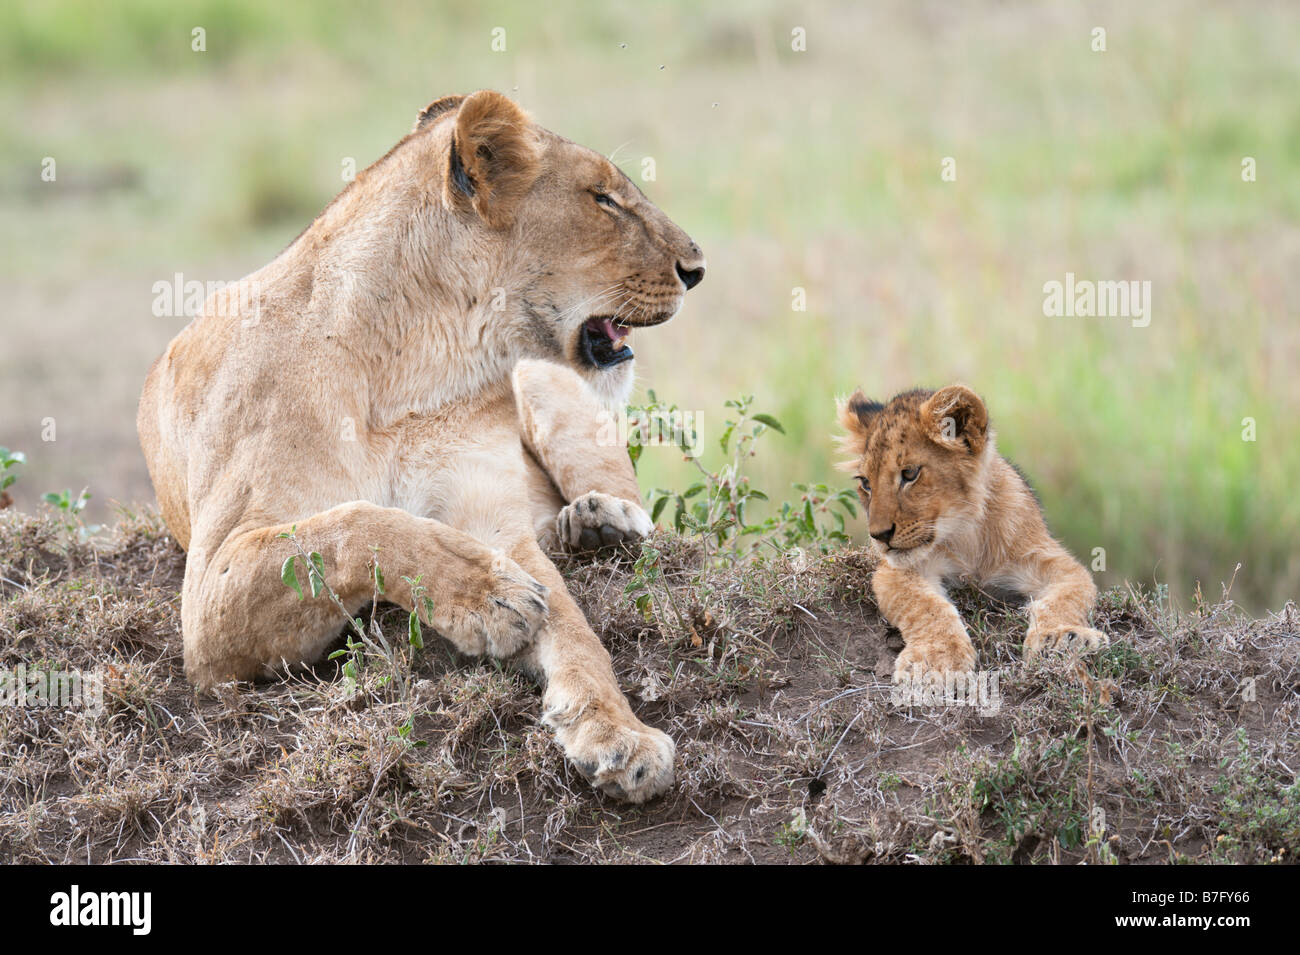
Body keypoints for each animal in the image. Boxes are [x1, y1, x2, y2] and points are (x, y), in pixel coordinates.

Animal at [137, 90, 706, 803]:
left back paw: (603, 521)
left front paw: (619, 735)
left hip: (553, 388)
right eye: (602, 198)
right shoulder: (212, 595)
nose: (698, 269)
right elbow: (362, 524)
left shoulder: (491, 517)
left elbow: (577, 636)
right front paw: (490, 596)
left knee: (618, 495)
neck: (414, 368)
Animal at [836, 384, 1108, 683]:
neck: (966, 532)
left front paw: (1062, 639)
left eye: (909, 473)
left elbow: (1066, 597)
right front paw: (936, 658)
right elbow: (926, 606)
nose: (879, 535)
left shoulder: (1053, 560)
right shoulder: (894, 571)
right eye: (865, 483)